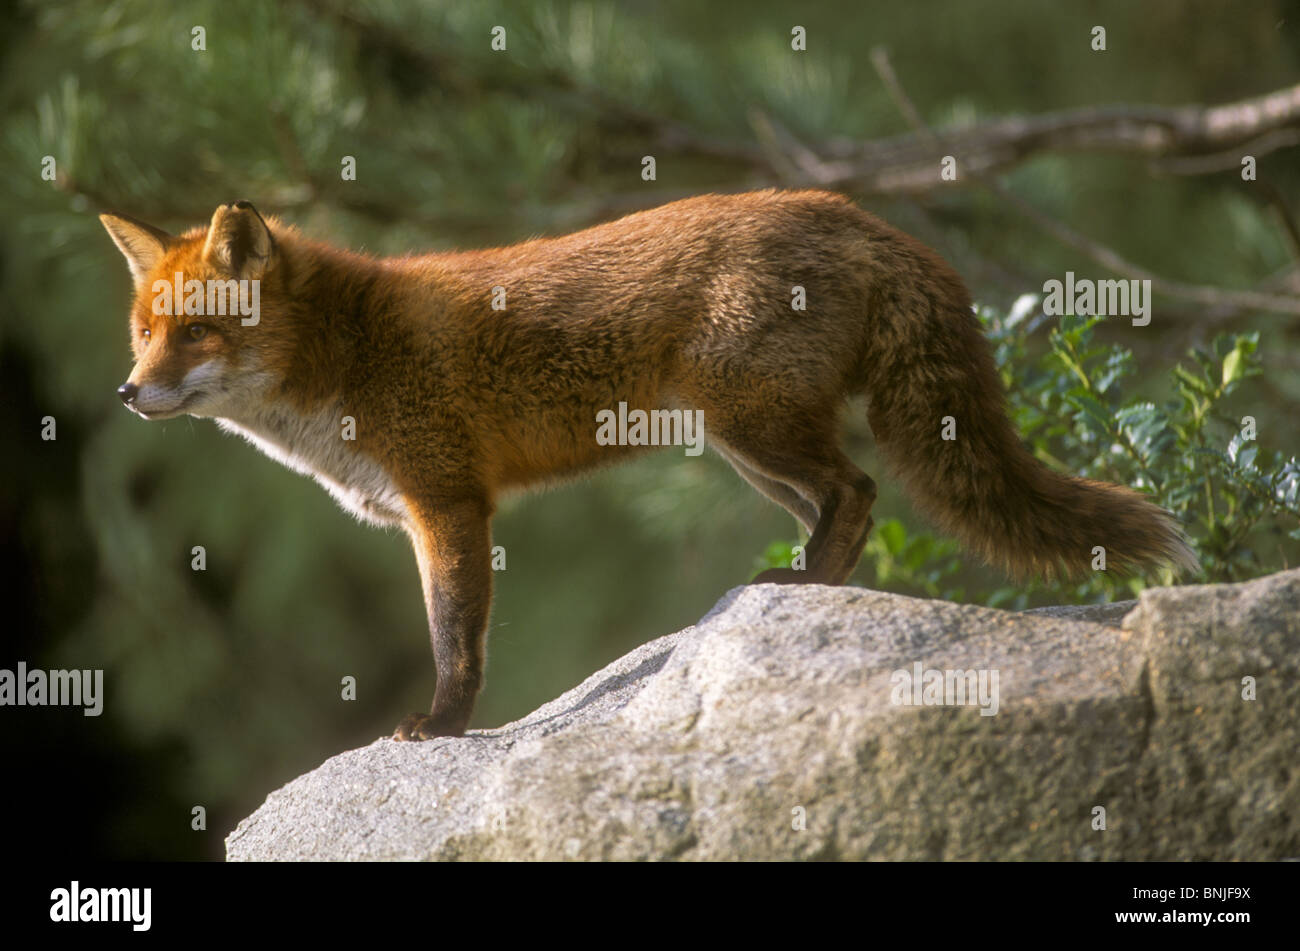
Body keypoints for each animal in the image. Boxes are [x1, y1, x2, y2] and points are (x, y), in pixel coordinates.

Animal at [101, 190, 1196, 740]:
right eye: (142, 334)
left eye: (195, 335)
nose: (124, 393)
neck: (349, 354)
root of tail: (859, 213)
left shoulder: (450, 504)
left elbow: (457, 641)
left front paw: (442, 726)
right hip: (745, 447)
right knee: (844, 502)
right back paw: (805, 587)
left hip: (749, 424)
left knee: (859, 489)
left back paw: (801, 593)